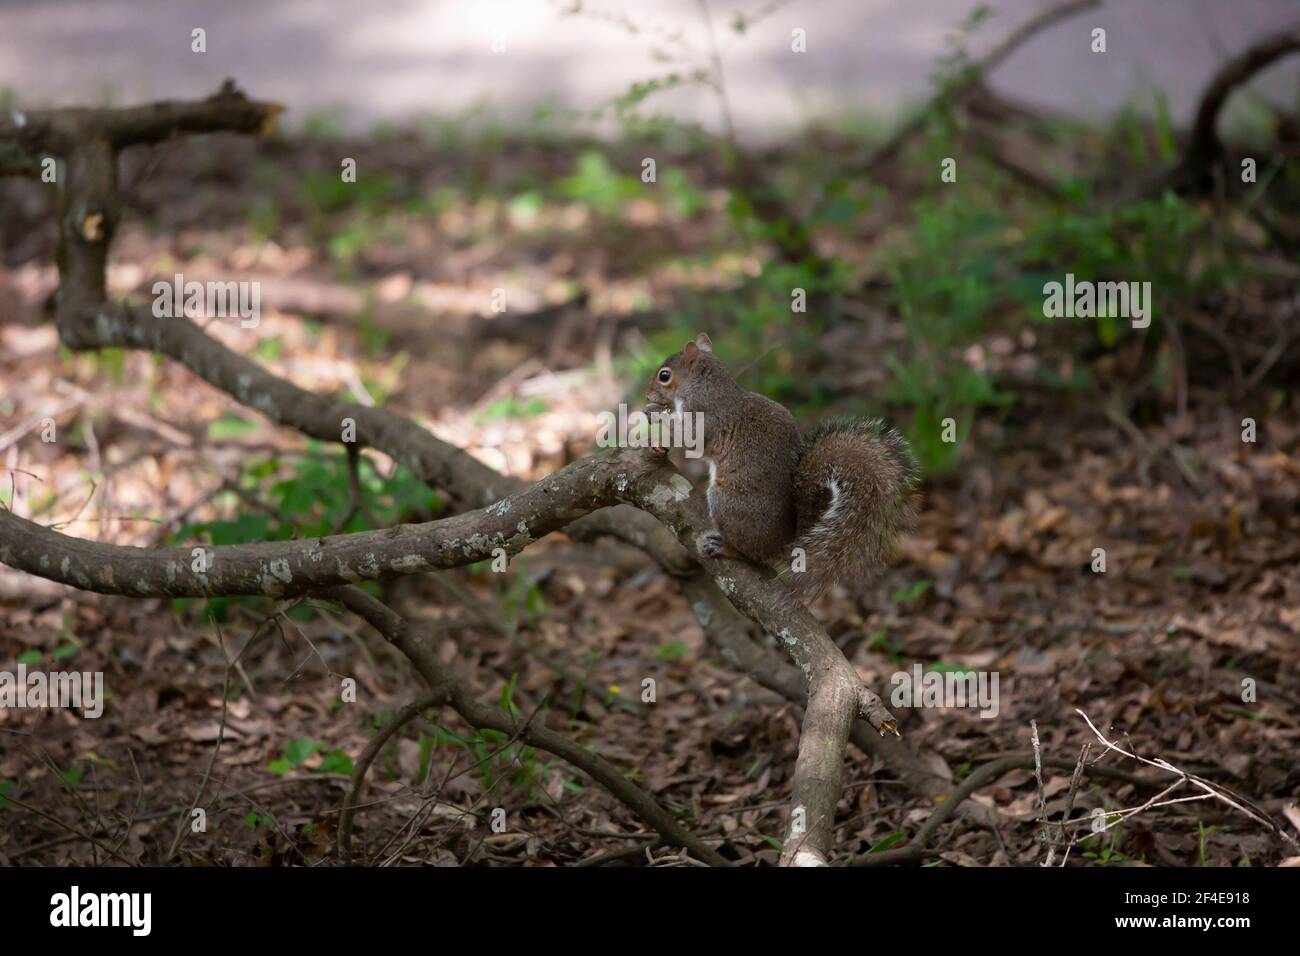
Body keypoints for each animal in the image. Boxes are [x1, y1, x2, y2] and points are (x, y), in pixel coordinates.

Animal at [644, 332, 918, 599]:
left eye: (664, 375)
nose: (647, 395)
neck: (705, 386)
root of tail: (785, 543)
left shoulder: (704, 416)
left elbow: (689, 437)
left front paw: (655, 414)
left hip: (726, 504)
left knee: (754, 555)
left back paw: (728, 548)